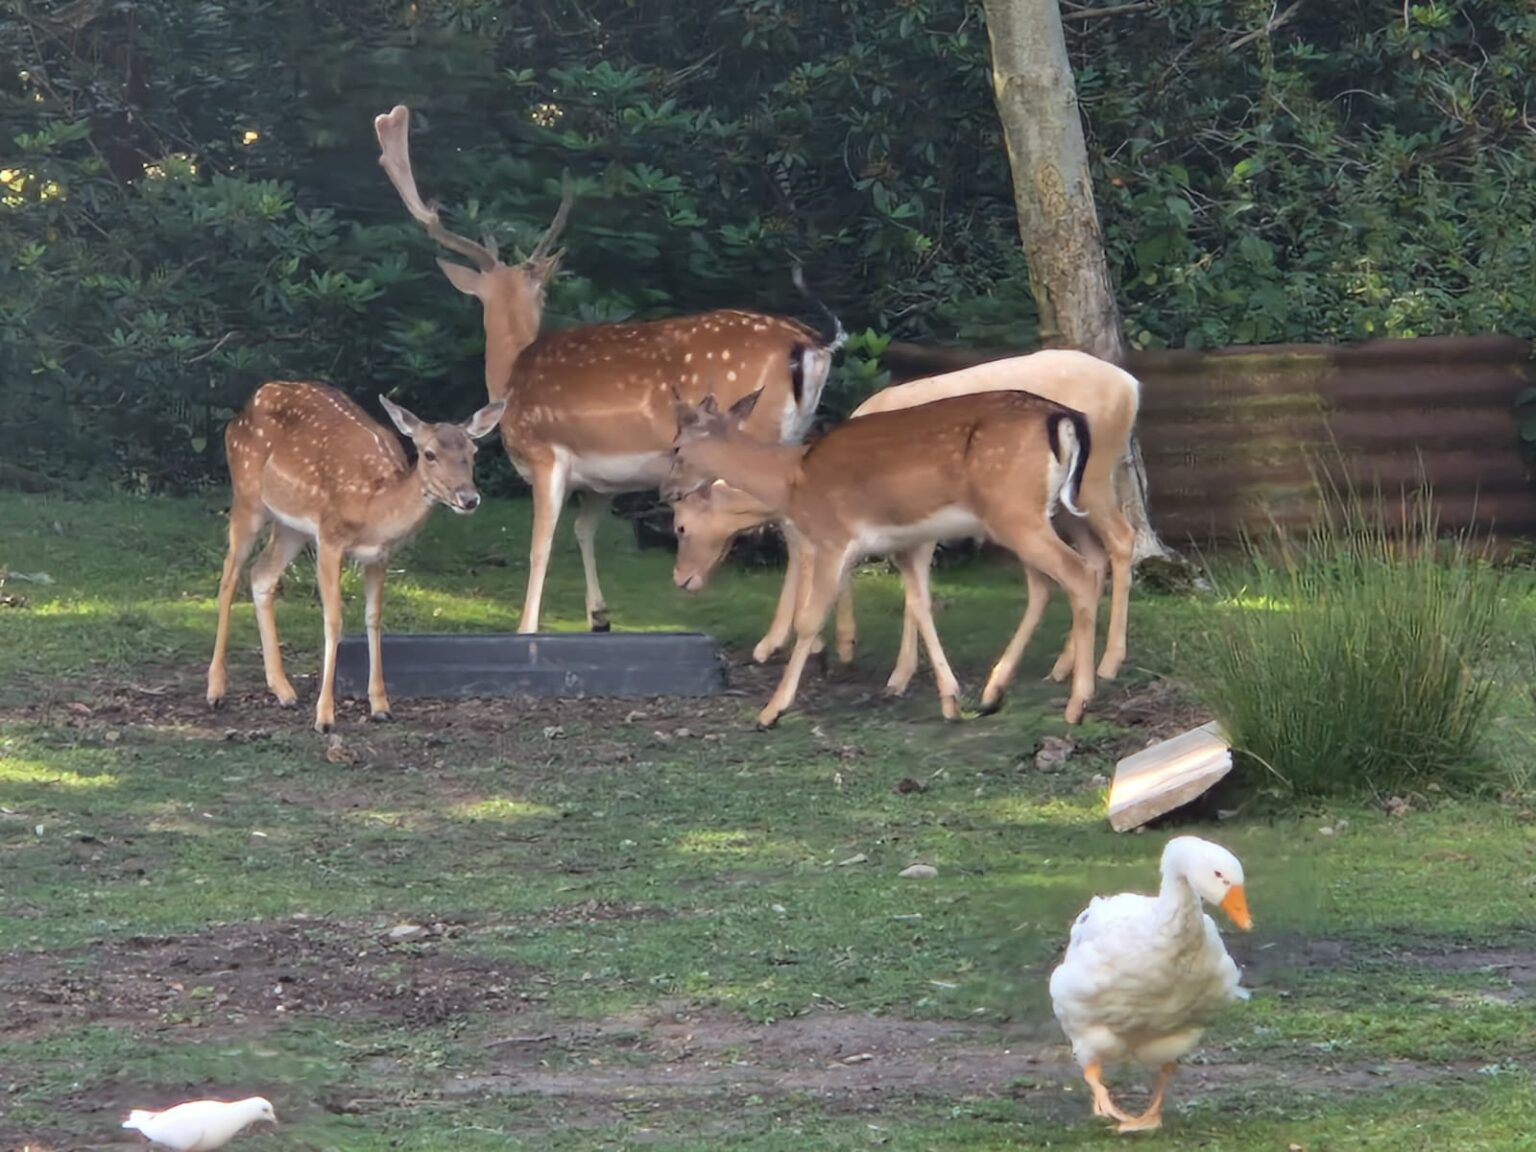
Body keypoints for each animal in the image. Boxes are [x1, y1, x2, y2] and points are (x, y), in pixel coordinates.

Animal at [206, 381, 504, 733]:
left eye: (472, 453)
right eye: (429, 454)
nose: (468, 499)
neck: (373, 509)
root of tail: (239, 414)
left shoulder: (379, 556)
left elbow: (373, 619)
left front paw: (381, 706)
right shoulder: (329, 539)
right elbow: (333, 621)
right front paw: (324, 718)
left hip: (291, 527)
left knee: (261, 574)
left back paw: (284, 691)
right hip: (247, 497)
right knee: (228, 578)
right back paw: (215, 690)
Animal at [373, 104, 845, 635]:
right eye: (542, 291)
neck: (510, 377)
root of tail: (810, 343)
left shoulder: (546, 454)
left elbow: (540, 547)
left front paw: (526, 627)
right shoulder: (601, 480)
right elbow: (583, 530)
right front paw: (598, 615)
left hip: (751, 436)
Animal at [670, 349, 1139, 697]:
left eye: (680, 525)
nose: (681, 579)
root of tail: (1132, 387)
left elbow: (912, 593)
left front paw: (893, 672)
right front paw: (838, 647)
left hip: (1092, 480)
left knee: (1121, 540)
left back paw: (1107, 665)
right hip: (1062, 506)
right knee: (1090, 561)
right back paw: (1063, 668)